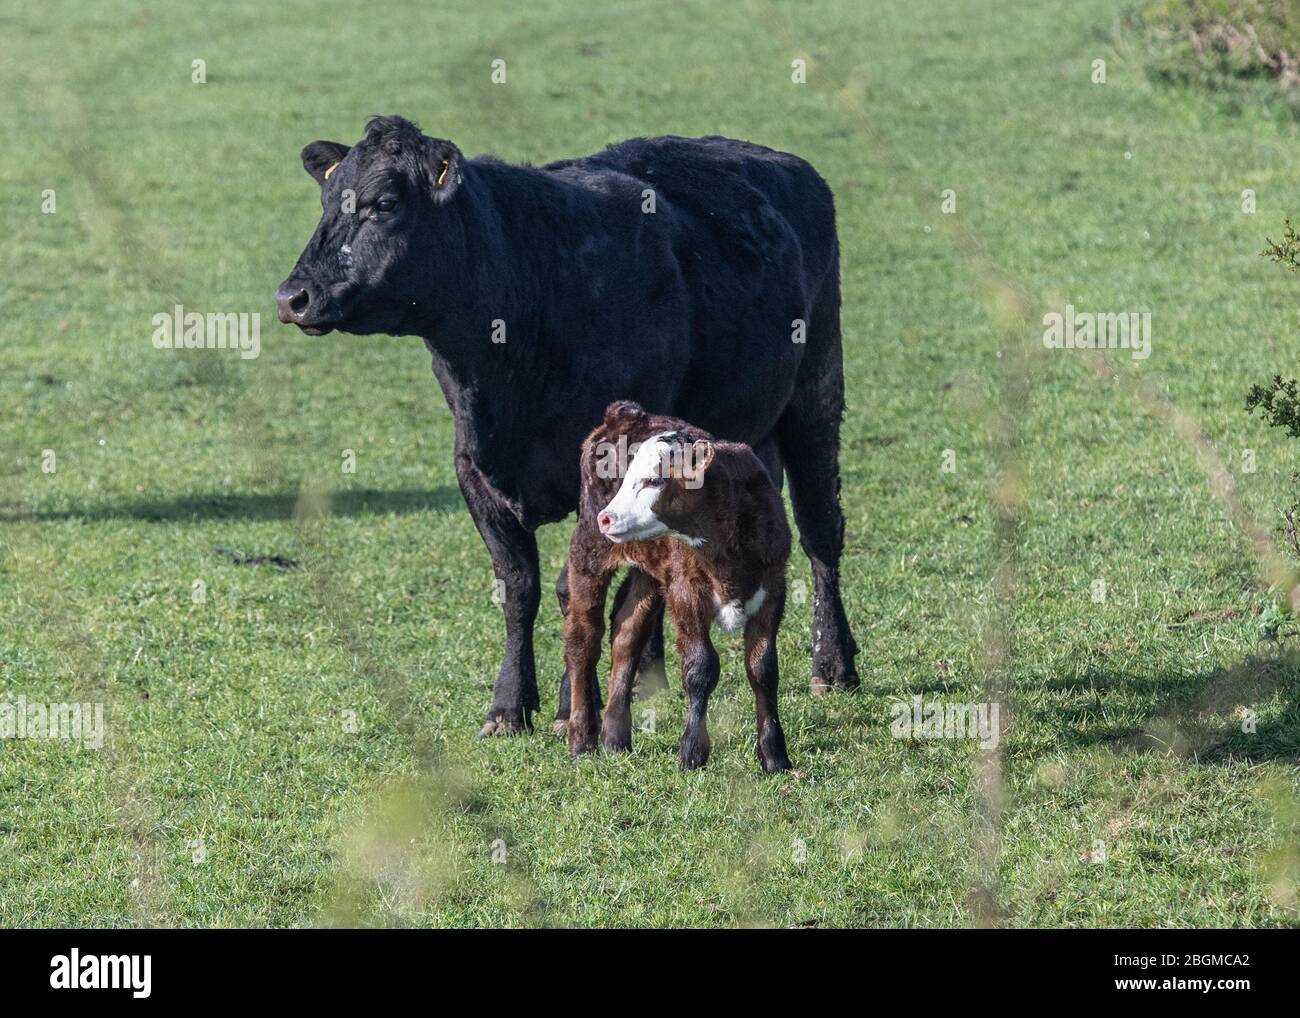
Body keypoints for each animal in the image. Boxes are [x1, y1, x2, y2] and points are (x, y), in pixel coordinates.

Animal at [565, 401, 793, 773]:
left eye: (654, 479)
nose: (607, 518)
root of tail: (624, 413)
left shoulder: (773, 589)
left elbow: (763, 668)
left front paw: (774, 755)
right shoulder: (685, 591)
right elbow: (700, 667)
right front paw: (692, 752)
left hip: (649, 572)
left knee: (627, 633)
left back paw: (615, 738)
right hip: (587, 550)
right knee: (583, 639)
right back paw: (582, 740)